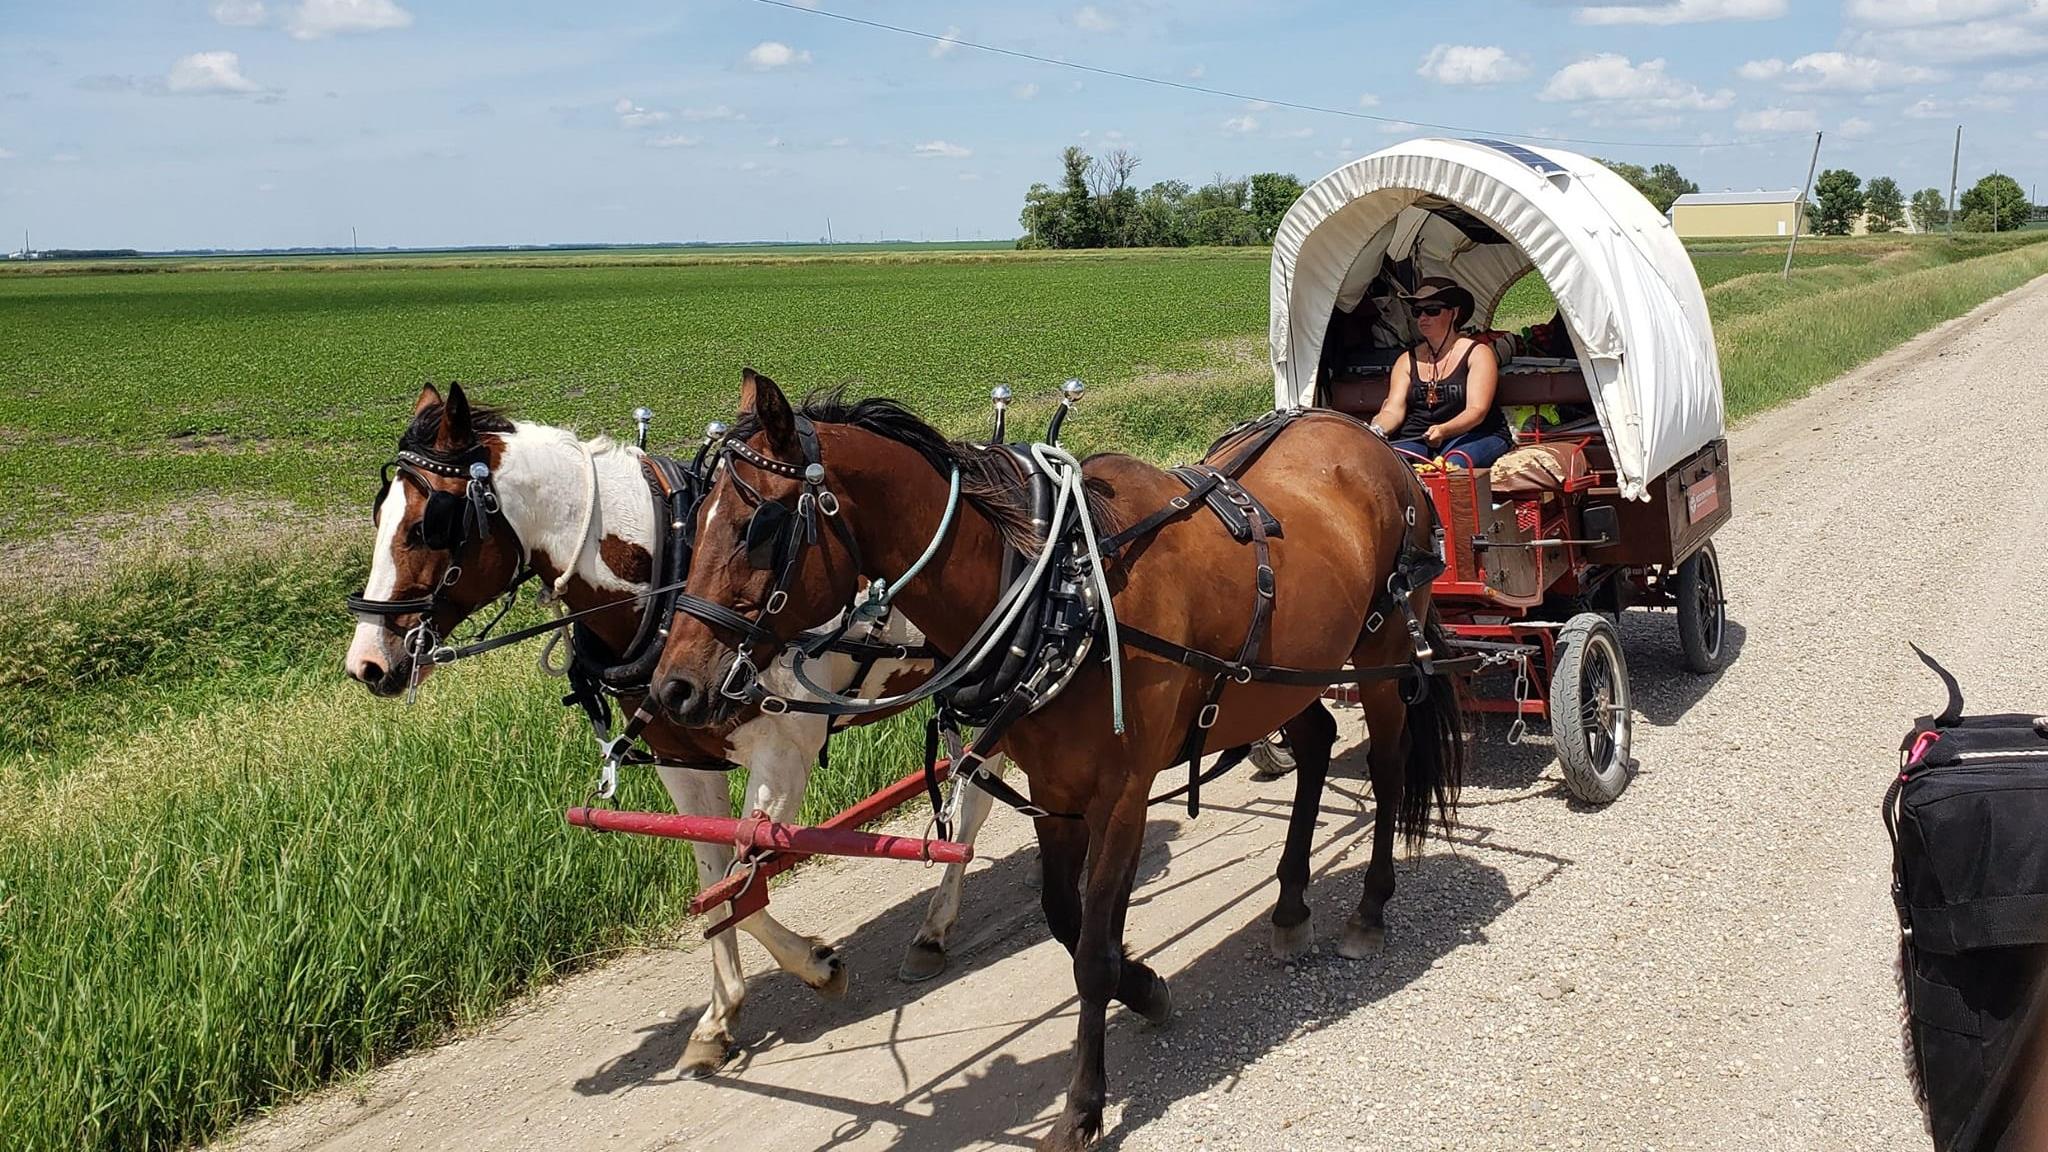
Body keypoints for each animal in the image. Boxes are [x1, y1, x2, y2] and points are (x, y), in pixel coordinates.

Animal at [341, 382, 1013, 1077]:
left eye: (428, 525)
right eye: (379, 515)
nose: (366, 663)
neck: (666, 589)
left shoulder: (784, 756)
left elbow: (746, 880)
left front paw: (817, 966)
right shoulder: (682, 765)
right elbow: (716, 885)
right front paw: (718, 1019)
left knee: (972, 807)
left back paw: (934, 928)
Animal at [647, 370, 1468, 1150]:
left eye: (758, 524)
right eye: (696, 522)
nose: (672, 689)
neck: (1060, 587)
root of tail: (1360, 435)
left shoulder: (1123, 795)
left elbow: (1092, 952)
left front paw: (1081, 1110)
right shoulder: (1055, 790)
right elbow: (1067, 922)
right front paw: (1147, 987)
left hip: (1382, 651)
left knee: (1388, 766)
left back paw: (1368, 909)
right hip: (1276, 680)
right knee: (1321, 743)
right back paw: (1292, 908)